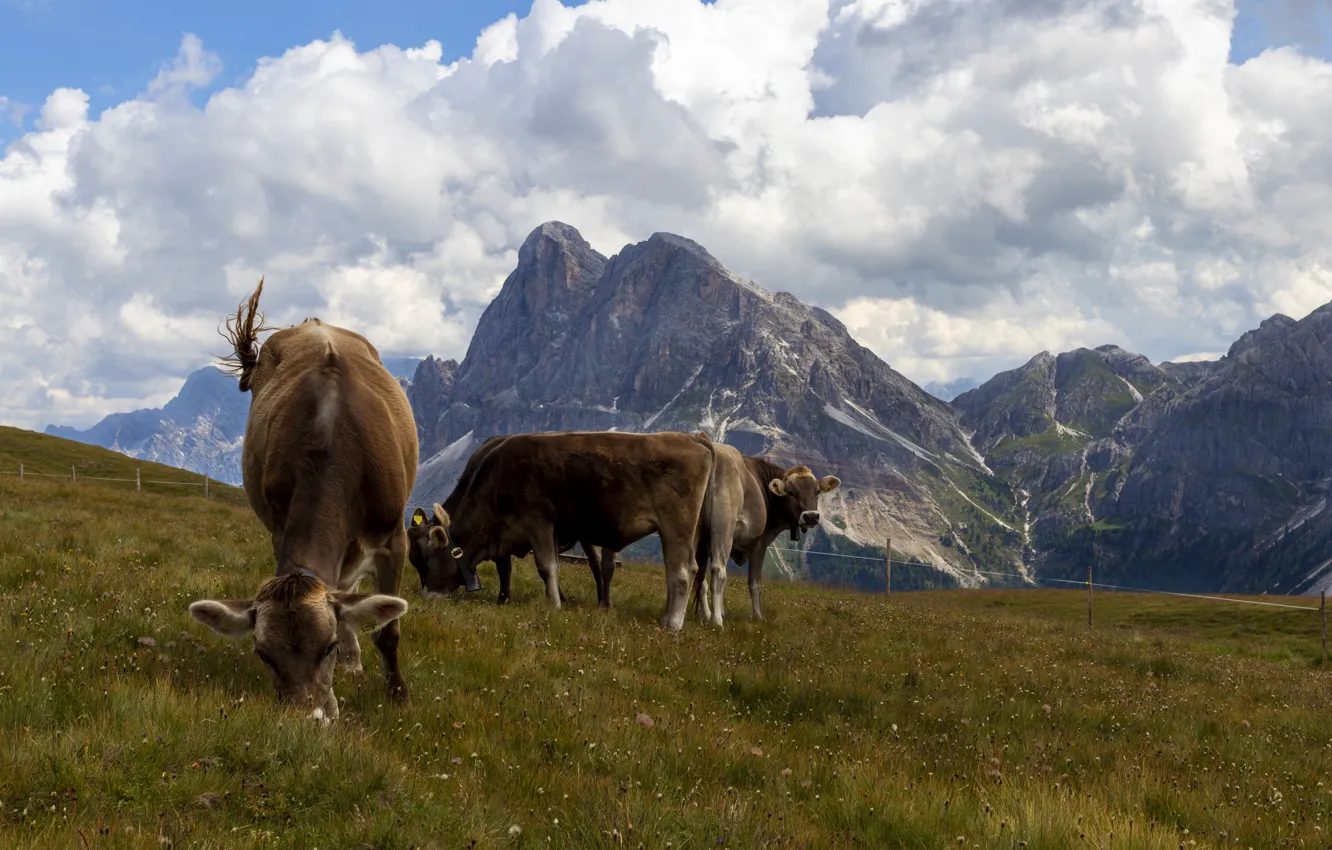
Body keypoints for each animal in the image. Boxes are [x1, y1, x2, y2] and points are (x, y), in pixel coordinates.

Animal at [187, 278, 418, 723]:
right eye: (262, 653)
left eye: (326, 646)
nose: (306, 718)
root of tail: (314, 323)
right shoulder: (279, 527)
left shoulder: (394, 536)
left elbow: (389, 629)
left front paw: (398, 695)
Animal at [428, 430, 716, 630]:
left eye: (428, 557)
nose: (426, 595)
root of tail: (691, 438)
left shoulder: (538, 520)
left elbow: (546, 566)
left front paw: (554, 606)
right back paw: (668, 616)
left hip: (677, 525)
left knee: (682, 572)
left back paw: (673, 624)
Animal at [690, 439, 841, 624]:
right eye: (792, 492)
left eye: (817, 491)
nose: (811, 516)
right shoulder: (759, 543)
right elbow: (754, 583)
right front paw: (757, 616)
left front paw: (715, 612)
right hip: (723, 527)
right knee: (718, 570)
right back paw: (716, 621)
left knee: (697, 571)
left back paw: (706, 616)